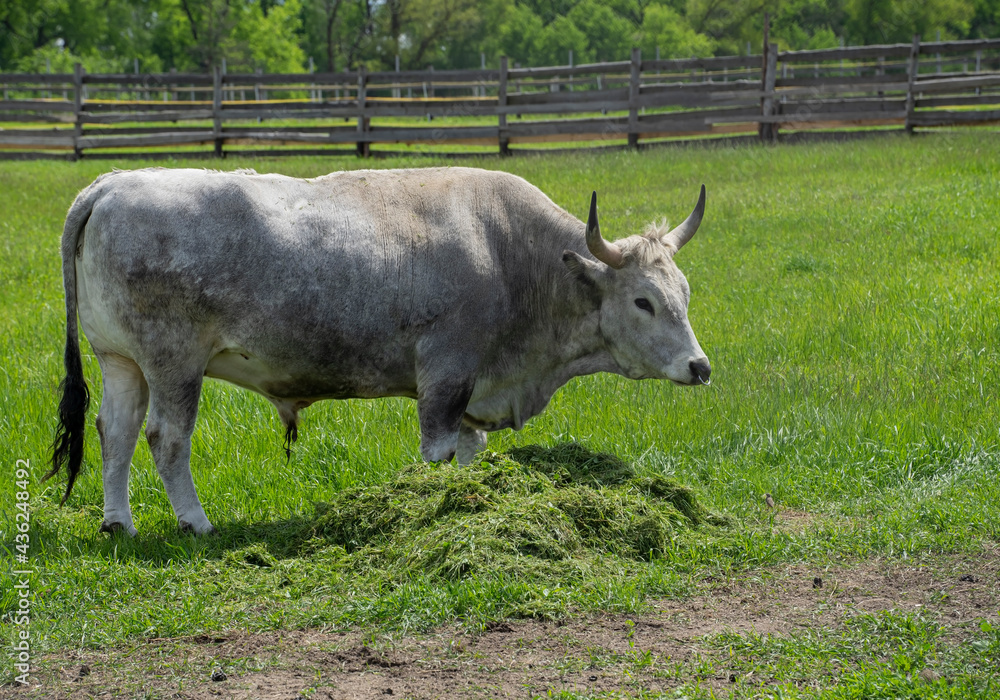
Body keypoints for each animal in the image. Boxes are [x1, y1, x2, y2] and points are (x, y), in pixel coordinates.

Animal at [48, 167, 710, 536]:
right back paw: (195, 522)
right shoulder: (446, 373)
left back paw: (118, 523)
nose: (700, 366)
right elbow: (439, 453)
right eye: (644, 301)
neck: (508, 252)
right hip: (174, 362)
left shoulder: (472, 387)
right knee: (165, 437)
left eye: (683, 292)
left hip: (121, 361)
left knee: (116, 431)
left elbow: (471, 451)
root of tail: (112, 184)